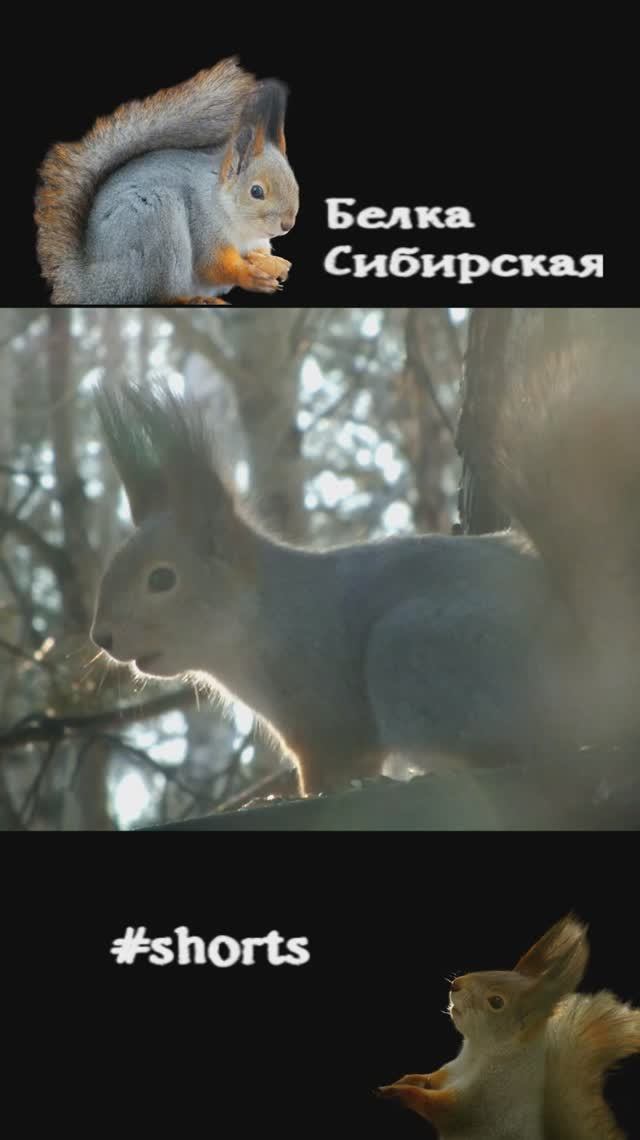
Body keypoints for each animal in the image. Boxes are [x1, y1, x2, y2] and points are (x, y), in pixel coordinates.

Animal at [34, 57, 299, 305]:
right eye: (256, 191)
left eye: (295, 186)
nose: (287, 225)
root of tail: (91, 284)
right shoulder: (204, 225)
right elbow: (212, 266)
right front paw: (251, 277)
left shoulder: (256, 241)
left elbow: (257, 254)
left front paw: (273, 262)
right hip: (158, 225)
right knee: (160, 295)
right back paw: (196, 299)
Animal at [89, 360, 640, 801]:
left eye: (162, 579)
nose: (102, 637)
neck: (251, 624)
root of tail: (598, 672)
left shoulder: (326, 705)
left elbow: (334, 764)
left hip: (415, 652)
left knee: (518, 753)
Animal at [377, 915, 640, 1140]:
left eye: (496, 1002)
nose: (455, 984)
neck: (477, 1052)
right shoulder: (451, 1070)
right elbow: (432, 1078)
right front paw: (407, 1079)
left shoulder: (483, 1100)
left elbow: (442, 1108)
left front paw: (399, 1092)